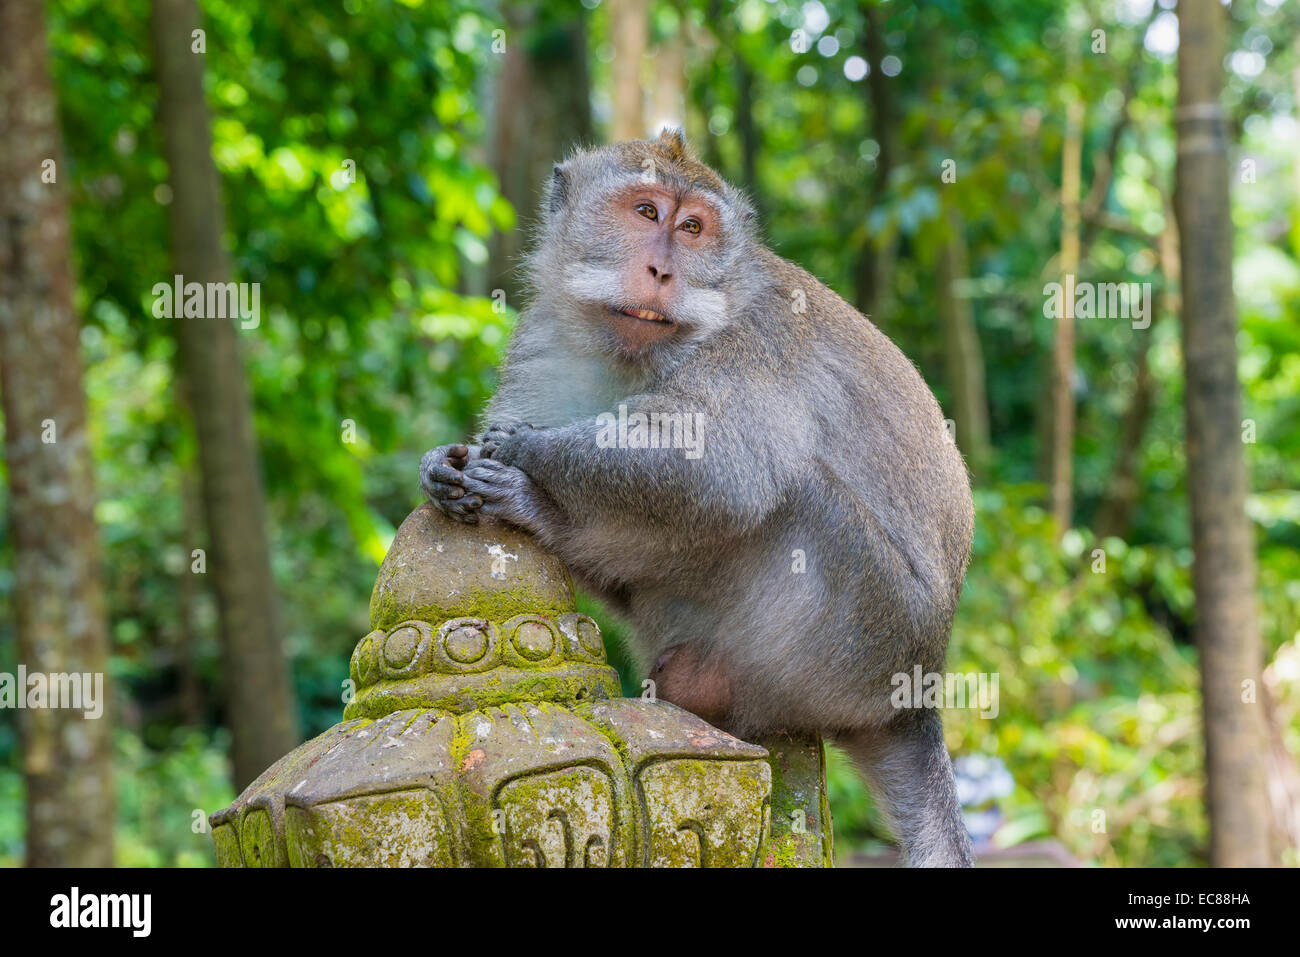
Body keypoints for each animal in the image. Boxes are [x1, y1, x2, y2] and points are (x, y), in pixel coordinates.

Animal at [420, 129, 975, 867]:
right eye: (646, 211)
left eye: (693, 228)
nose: (663, 271)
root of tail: (918, 690)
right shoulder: (542, 337)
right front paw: (439, 464)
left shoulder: (758, 336)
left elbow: (723, 469)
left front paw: (522, 455)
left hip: (853, 635)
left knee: (794, 492)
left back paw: (545, 514)